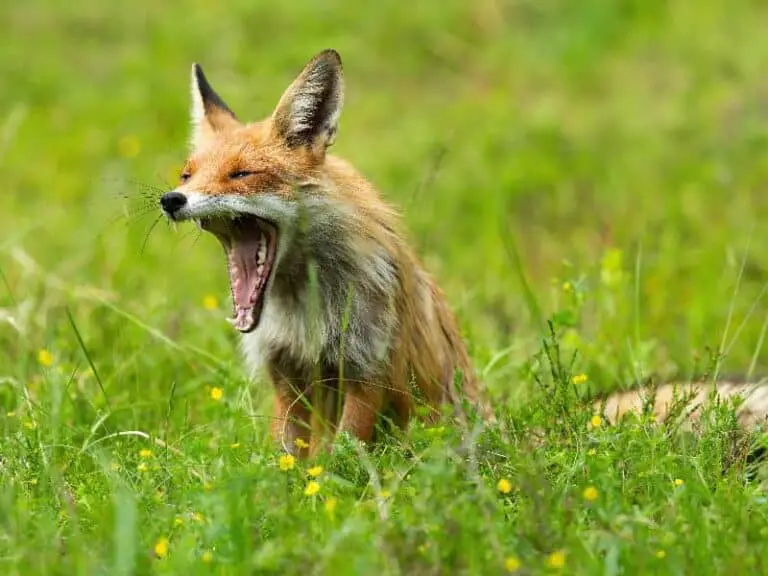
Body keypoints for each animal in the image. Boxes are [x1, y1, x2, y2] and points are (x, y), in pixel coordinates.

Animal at [159, 49, 491, 457]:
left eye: (241, 174)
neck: (305, 312)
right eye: (187, 175)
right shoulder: (286, 376)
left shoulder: (368, 371)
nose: (171, 199)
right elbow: (289, 457)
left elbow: (343, 456)